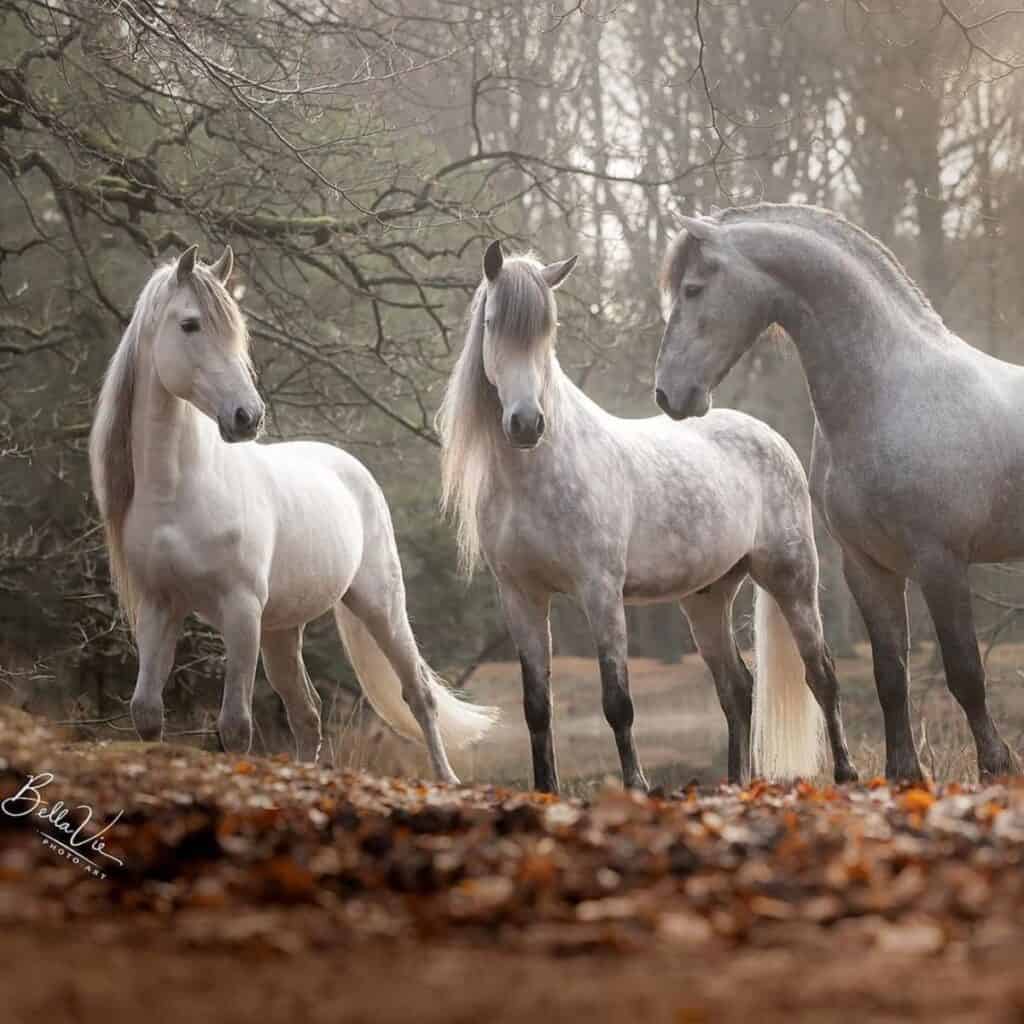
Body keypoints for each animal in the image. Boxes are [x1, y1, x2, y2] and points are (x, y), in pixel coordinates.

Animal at [89, 245, 497, 782]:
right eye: (190, 325)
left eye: (236, 330)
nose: (247, 417)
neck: (179, 492)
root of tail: (351, 469)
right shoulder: (160, 607)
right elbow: (146, 713)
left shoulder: (241, 611)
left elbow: (236, 727)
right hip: (281, 630)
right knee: (307, 712)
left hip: (379, 606)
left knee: (418, 694)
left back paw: (446, 777)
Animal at [437, 240, 858, 793]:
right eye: (491, 322)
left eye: (547, 329)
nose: (526, 423)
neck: (535, 475)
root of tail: (770, 437)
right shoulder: (520, 597)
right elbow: (536, 707)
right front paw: (546, 790)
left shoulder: (600, 592)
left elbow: (618, 703)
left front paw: (636, 787)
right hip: (707, 598)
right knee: (737, 689)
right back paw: (734, 783)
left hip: (791, 580)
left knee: (821, 675)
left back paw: (847, 773)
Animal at [654, 202, 1023, 782]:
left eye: (693, 289)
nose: (668, 393)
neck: (889, 391)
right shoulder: (868, 566)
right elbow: (889, 674)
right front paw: (903, 775)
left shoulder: (941, 564)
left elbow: (965, 672)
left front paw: (995, 767)